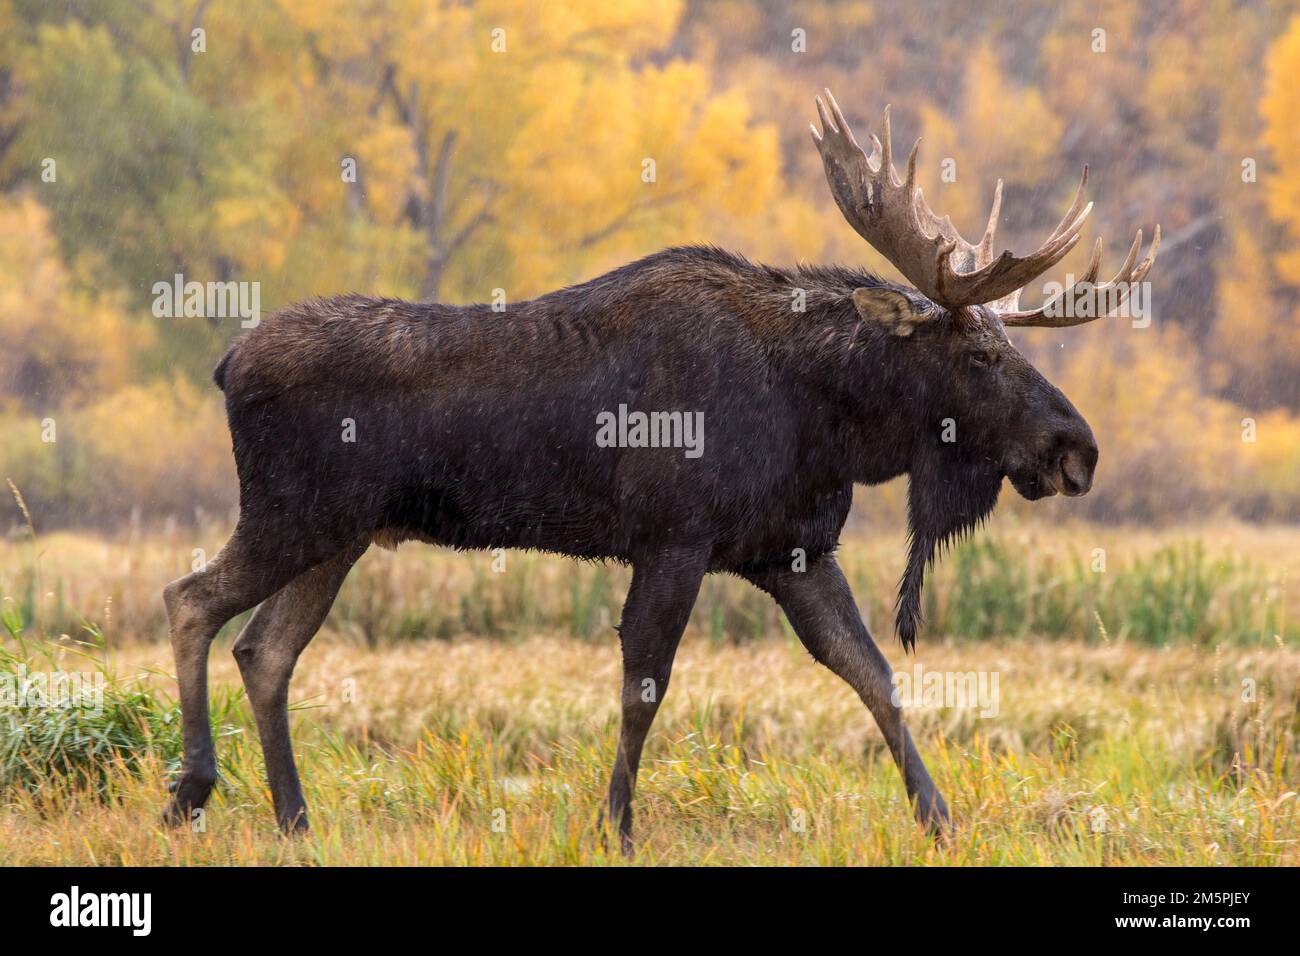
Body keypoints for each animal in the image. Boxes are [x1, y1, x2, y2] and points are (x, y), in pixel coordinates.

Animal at [162, 91, 1158, 852]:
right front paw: (617, 826)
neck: (827, 419)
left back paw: (294, 818)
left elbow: (872, 672)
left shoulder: (792, 550)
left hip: (343, 536)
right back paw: (194, 789)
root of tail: (225, 364)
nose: (1078, 449)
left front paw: (940, 820)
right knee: (190, 600)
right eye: (982, 357)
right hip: (293, 515)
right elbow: (645, 685)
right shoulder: (674, 541)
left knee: (265, 648)